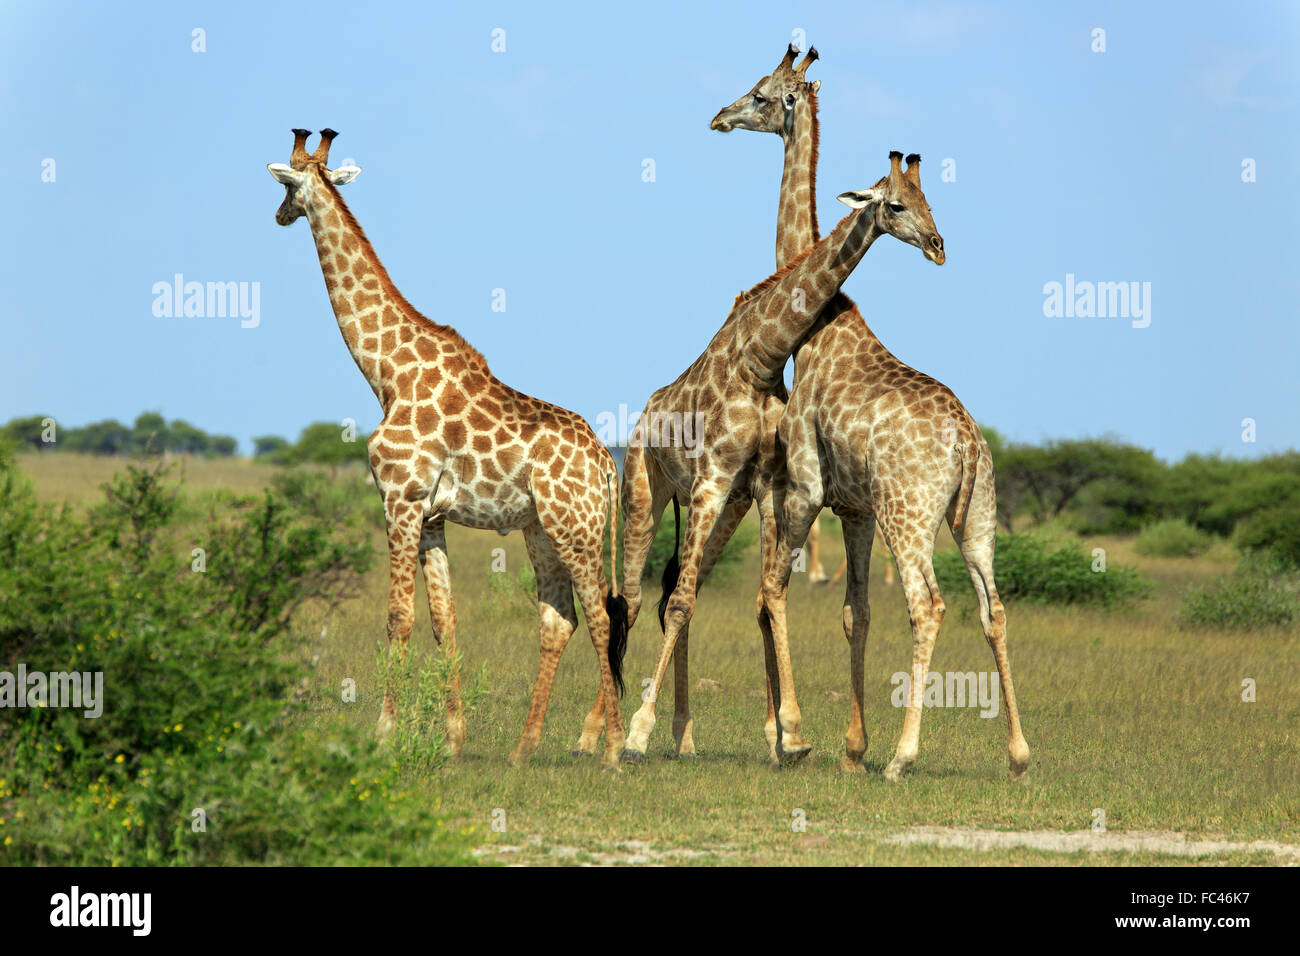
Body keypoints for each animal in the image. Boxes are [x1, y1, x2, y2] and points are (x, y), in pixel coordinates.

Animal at [266, 129, 630, 770]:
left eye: (285, 185)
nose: (279, 216)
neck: (386, 373)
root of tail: (608, 465)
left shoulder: (400, 498)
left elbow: (398, 617)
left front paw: (383, 735)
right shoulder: (432, 514)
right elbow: (444, 619)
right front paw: (454, 737)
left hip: (577, 527)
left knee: (600, 617)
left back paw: (609, 749)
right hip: (541, 529)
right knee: (557, 619)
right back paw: (522, 749)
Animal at [616, 154, 945, 764]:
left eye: (929, 201)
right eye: (895, 204)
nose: (938, 245)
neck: (759, 360)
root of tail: (646, 411)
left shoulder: (764, 484)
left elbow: (763, 597)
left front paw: (789, 735)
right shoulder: (713, 475)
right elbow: (694, 601)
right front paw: (635, 735)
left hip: (721, 506)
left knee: (676, 590)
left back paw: (685, 737)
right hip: (647, 491)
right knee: (633, 598)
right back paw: (600, 731)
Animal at [715, 59, 1030, 779]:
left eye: (761, 95)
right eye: (905, 202)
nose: (719, 117)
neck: (815, 330)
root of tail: (967, 445)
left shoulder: (807, 488)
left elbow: (776, 590)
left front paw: (796, 737)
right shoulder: (854, 508)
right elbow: (854, 613)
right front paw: (851, 749)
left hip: (908, 514)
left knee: (928, 604)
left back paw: (904, 757)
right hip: (977, 515)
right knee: (993, 607)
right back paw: (1019, 755)